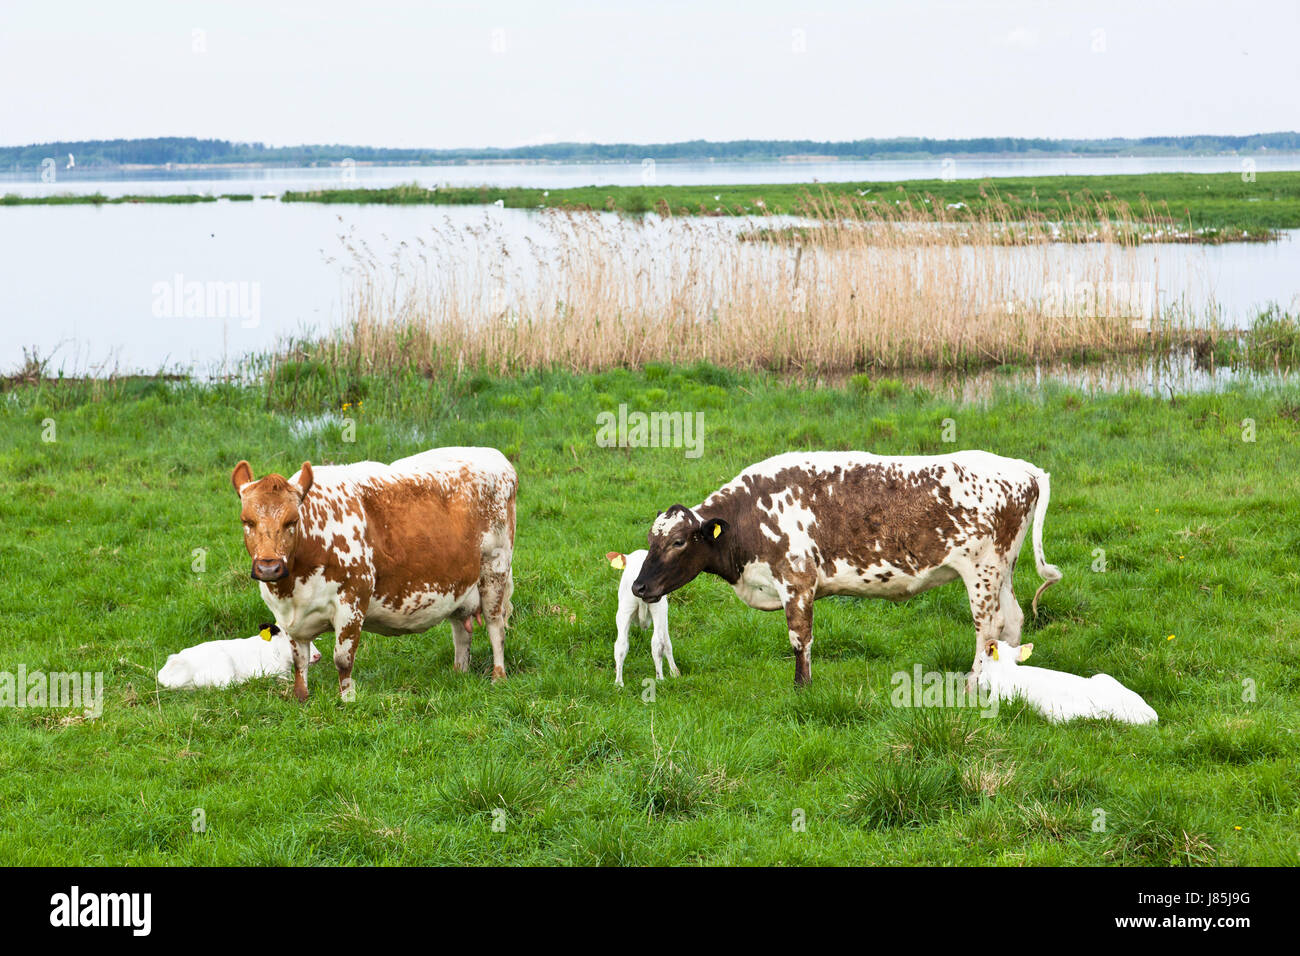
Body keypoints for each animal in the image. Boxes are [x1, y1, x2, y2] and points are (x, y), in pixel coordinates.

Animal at [231, 447, 517, 701]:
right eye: (247, 521)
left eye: (292, 521)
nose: (269, 567)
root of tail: (494, 456)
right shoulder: (287, 617)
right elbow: (299, 661)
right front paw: (301, 698)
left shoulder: (352, 602)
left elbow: (343, 659)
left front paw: (347, 699)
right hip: (459, 585)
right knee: (461, 631)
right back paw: (459, 674)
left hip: (495, 570)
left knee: (495, 626)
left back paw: (498, 676)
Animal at [631, 450, 1061, 687]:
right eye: (651, 539)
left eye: (678, 542)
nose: (638, 588)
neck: (749, 515)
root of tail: (1022, 468)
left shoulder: (797, 581)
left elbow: (799, 639)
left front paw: (802, 688)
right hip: (1003, 569)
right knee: (1012, 619)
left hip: (982, 570)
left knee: (987, 626)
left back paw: (975, 682)